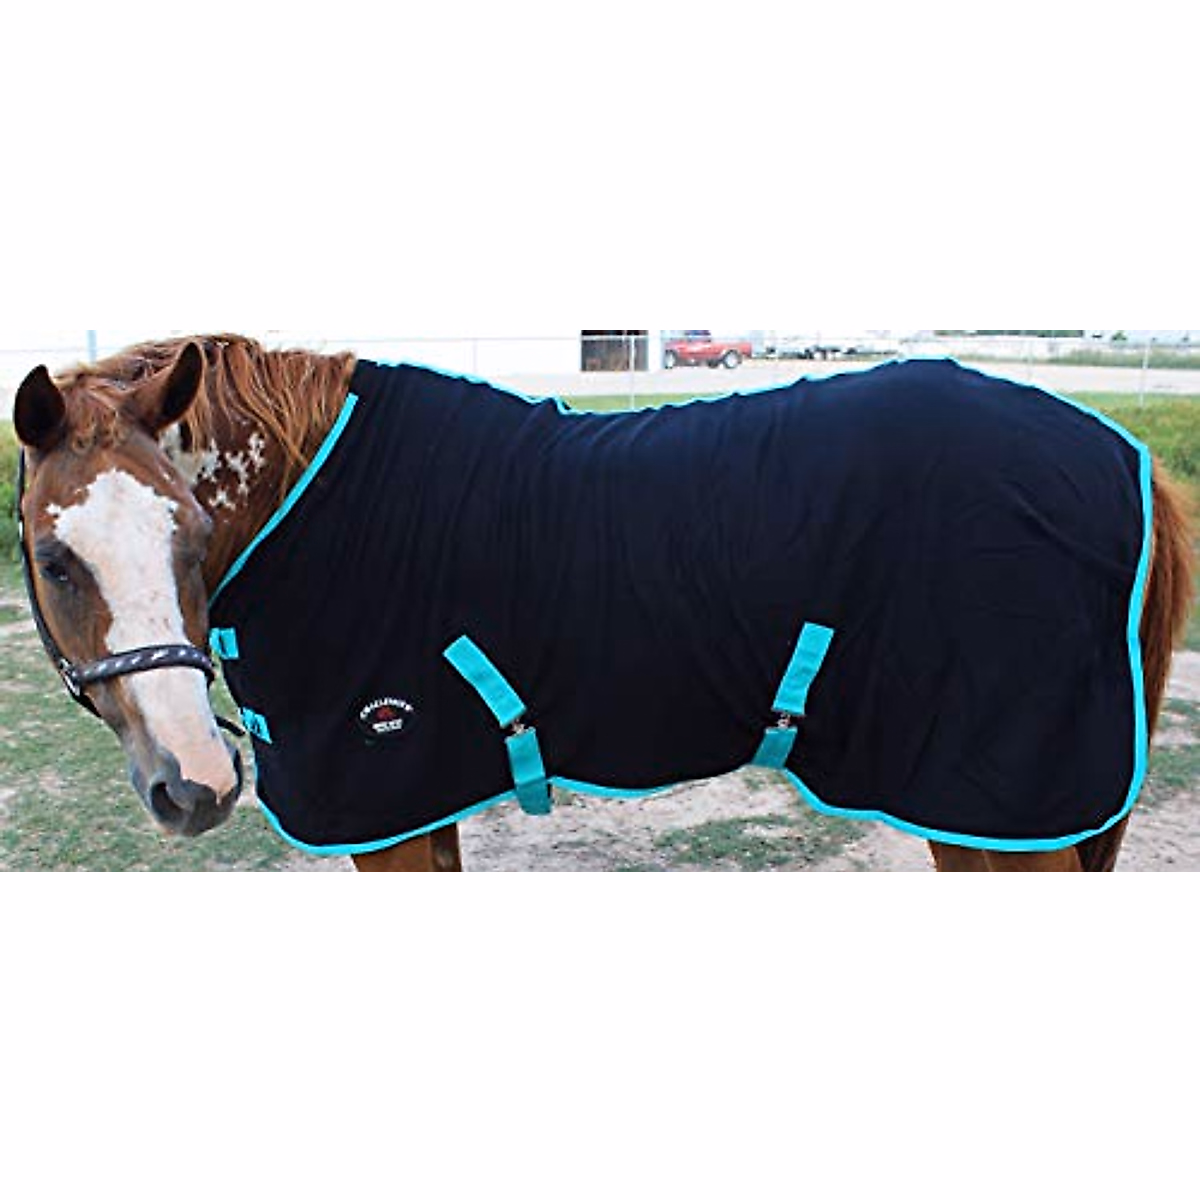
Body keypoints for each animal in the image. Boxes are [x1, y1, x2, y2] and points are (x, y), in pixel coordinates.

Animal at [13, 335, 1196, 872]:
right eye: (56, 557)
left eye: (189, 534)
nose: (195, 784)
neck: (317, 502)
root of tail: (1122, 456)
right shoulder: (419, 812)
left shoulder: (385, 812)